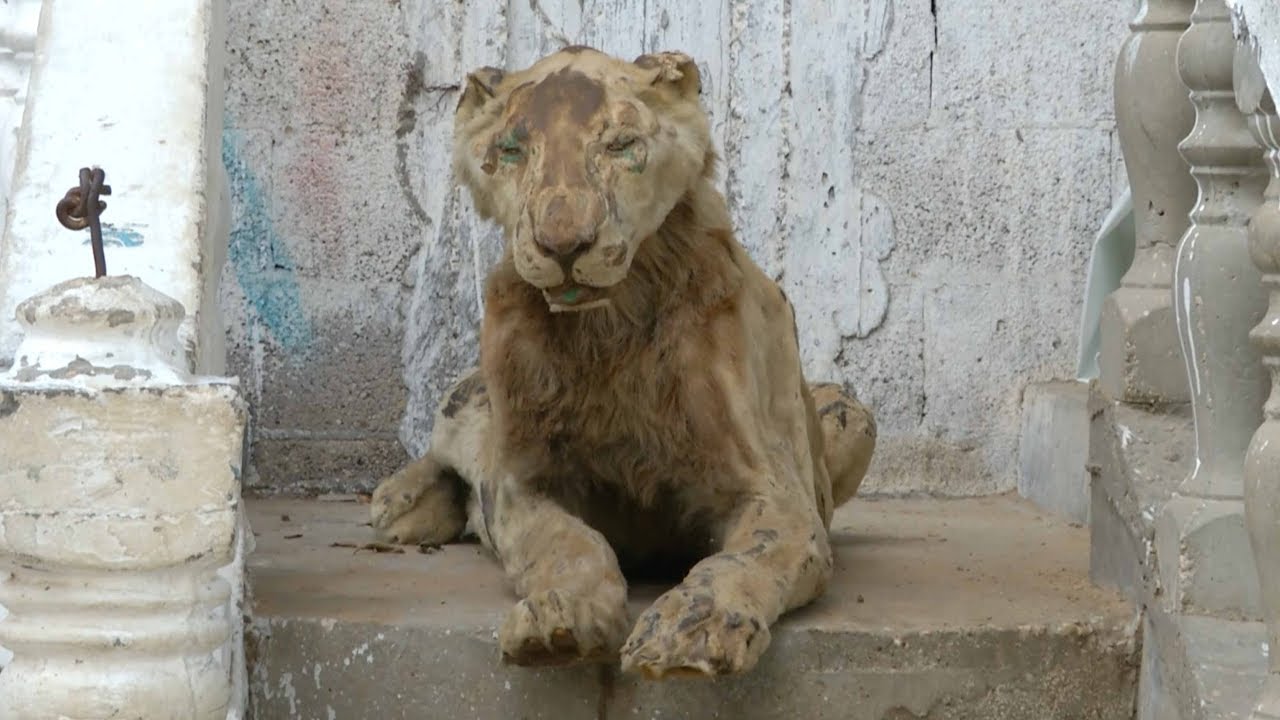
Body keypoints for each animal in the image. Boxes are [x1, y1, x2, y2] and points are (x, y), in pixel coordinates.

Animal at [370, 46, 876, 679]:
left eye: (619, 145)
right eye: (512, 151)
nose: (564, 245)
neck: (609, 329)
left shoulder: (777, 496)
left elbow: (741, 561)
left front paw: (692, 632)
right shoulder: (521, 485)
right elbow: (570, 545)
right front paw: (559, 620)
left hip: (851, 414)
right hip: (469, 394)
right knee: (452, 452)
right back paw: (400, 505)